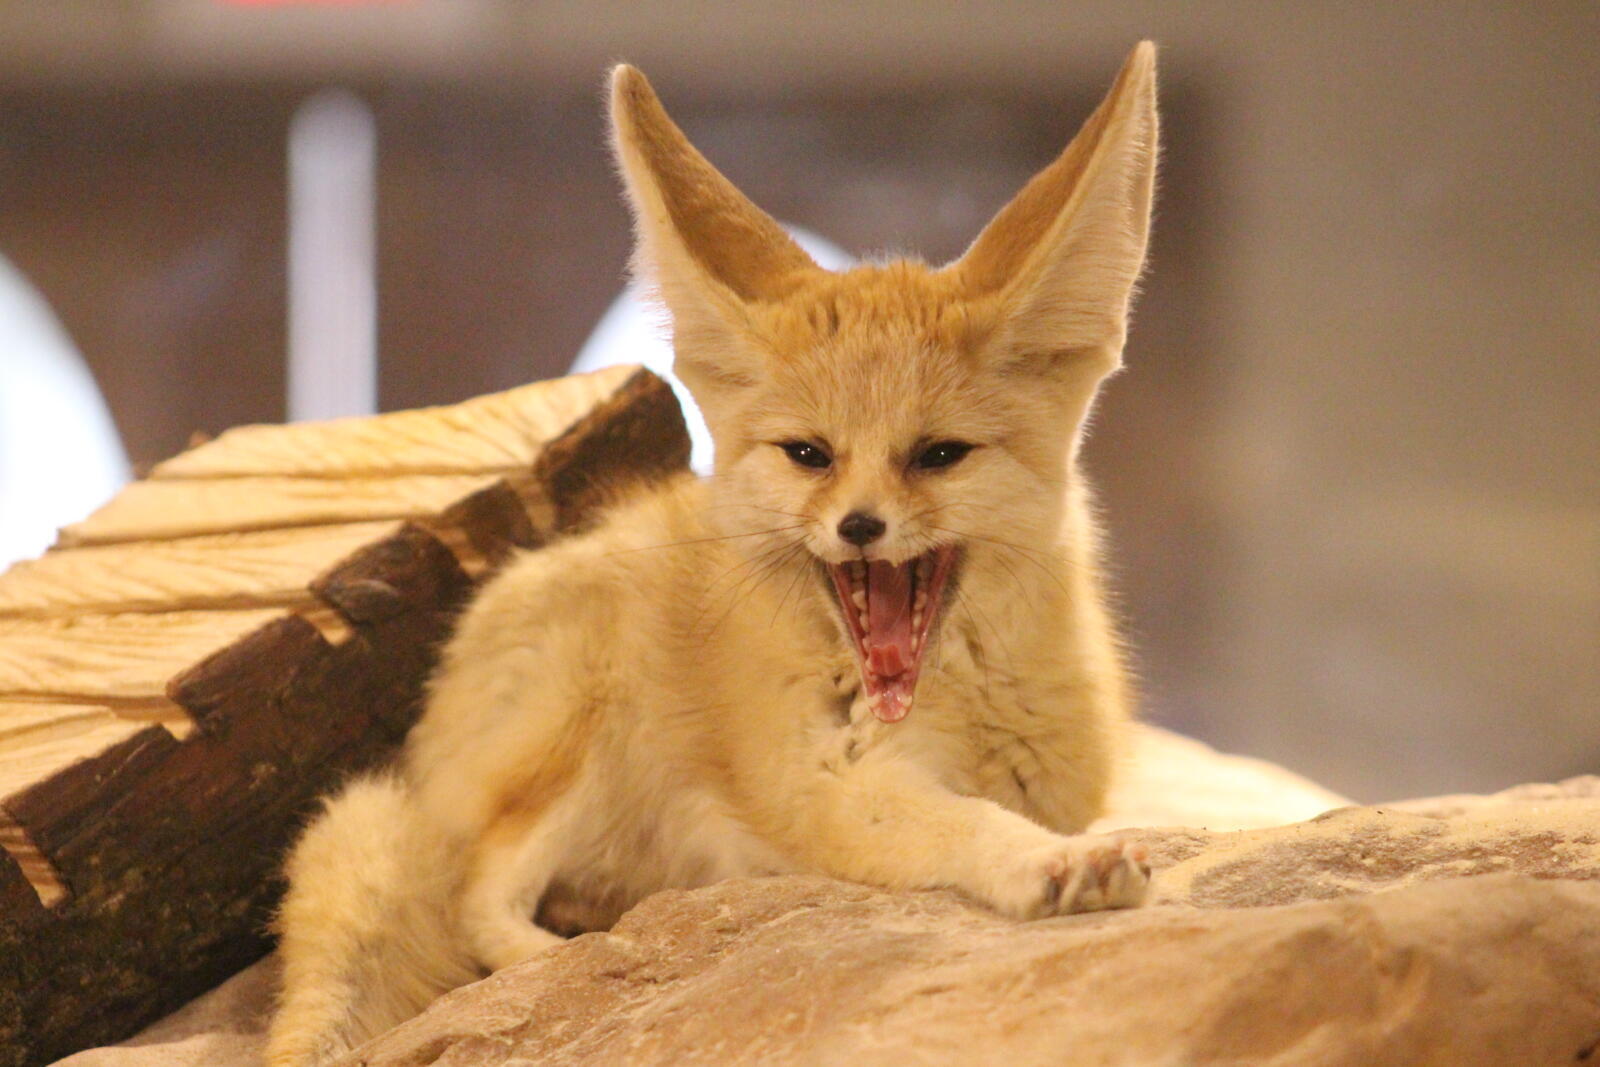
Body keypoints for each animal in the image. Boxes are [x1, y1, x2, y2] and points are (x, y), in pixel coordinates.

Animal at [267, 42, 1160, 1066]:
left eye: (938, 455)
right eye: (809, 454)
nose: (860, 526)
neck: (966, 699)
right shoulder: (831, 788)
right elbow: (968, 822)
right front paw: (1051, 862)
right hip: (585, 730)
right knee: (476, 903)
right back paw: (583, 956)